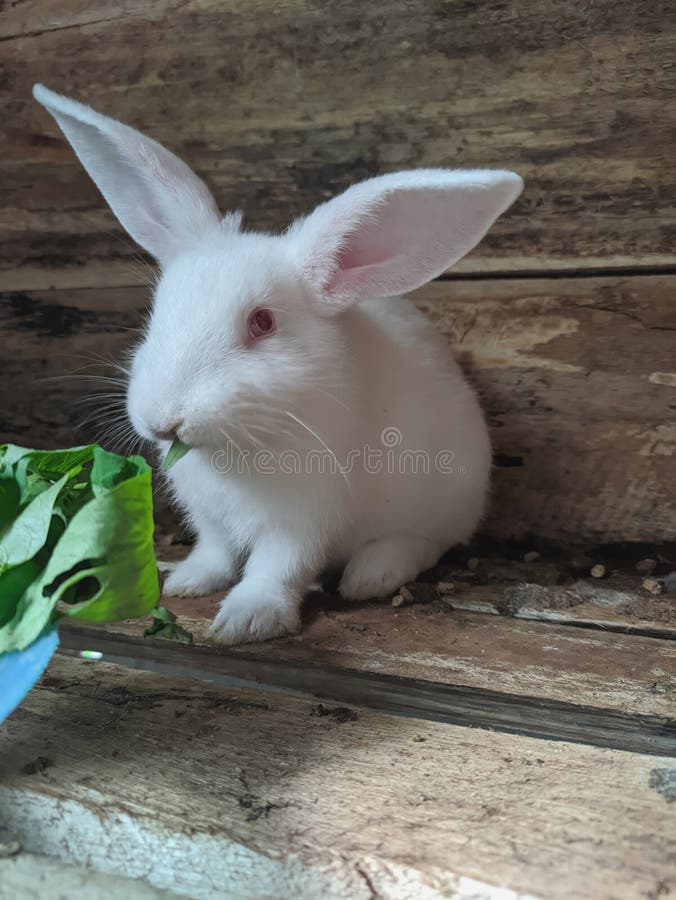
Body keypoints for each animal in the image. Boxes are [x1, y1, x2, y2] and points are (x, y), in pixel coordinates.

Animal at [33, 84, 523, 645]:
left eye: (262, 322)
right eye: (158, 310)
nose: (163, 420)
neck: (236, 449)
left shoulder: (304, 517)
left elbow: (277, 568)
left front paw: (246, 620)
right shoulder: (208, 514)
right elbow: (216, 550)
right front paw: (187, 582)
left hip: (442, 498)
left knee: (424, 542)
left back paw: (371, 576)